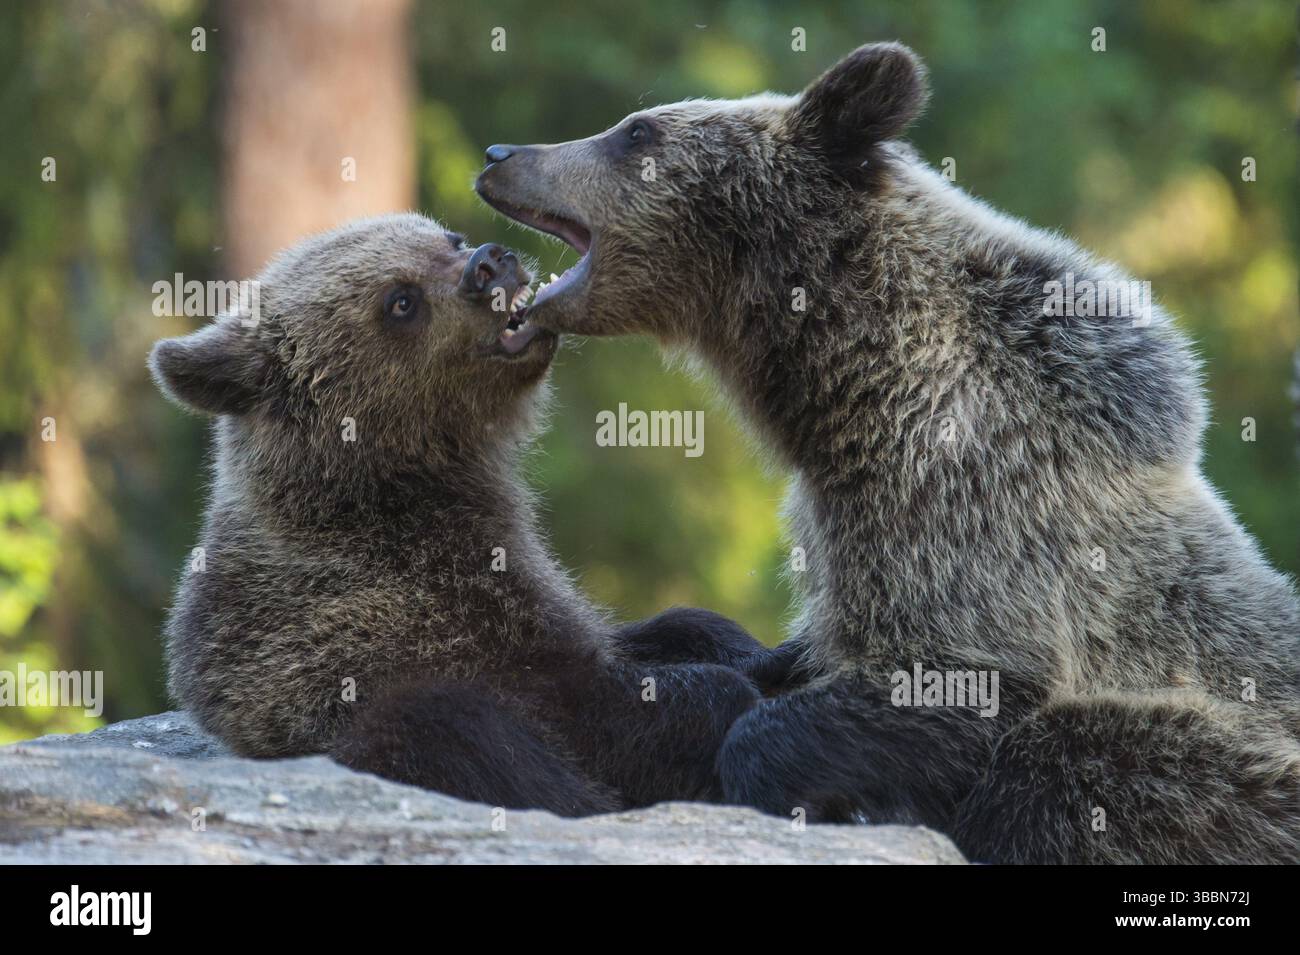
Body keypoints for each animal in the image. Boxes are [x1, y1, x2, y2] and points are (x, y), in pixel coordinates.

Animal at [149, 212, 770, 816]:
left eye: (448, 238)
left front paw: (746, 650)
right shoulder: (414, 616)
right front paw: (720, 705)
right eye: (401, 300)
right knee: (439, 726)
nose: (491, 262)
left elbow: (667, 627)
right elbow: (591, 706)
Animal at [474, 43, 1300, 861]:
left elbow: (957, 681)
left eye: (637, 131)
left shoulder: (967, 509)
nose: (499, 154)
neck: (857, 389)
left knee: (1069, 764)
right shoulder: (842, 525)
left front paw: (785, 778)